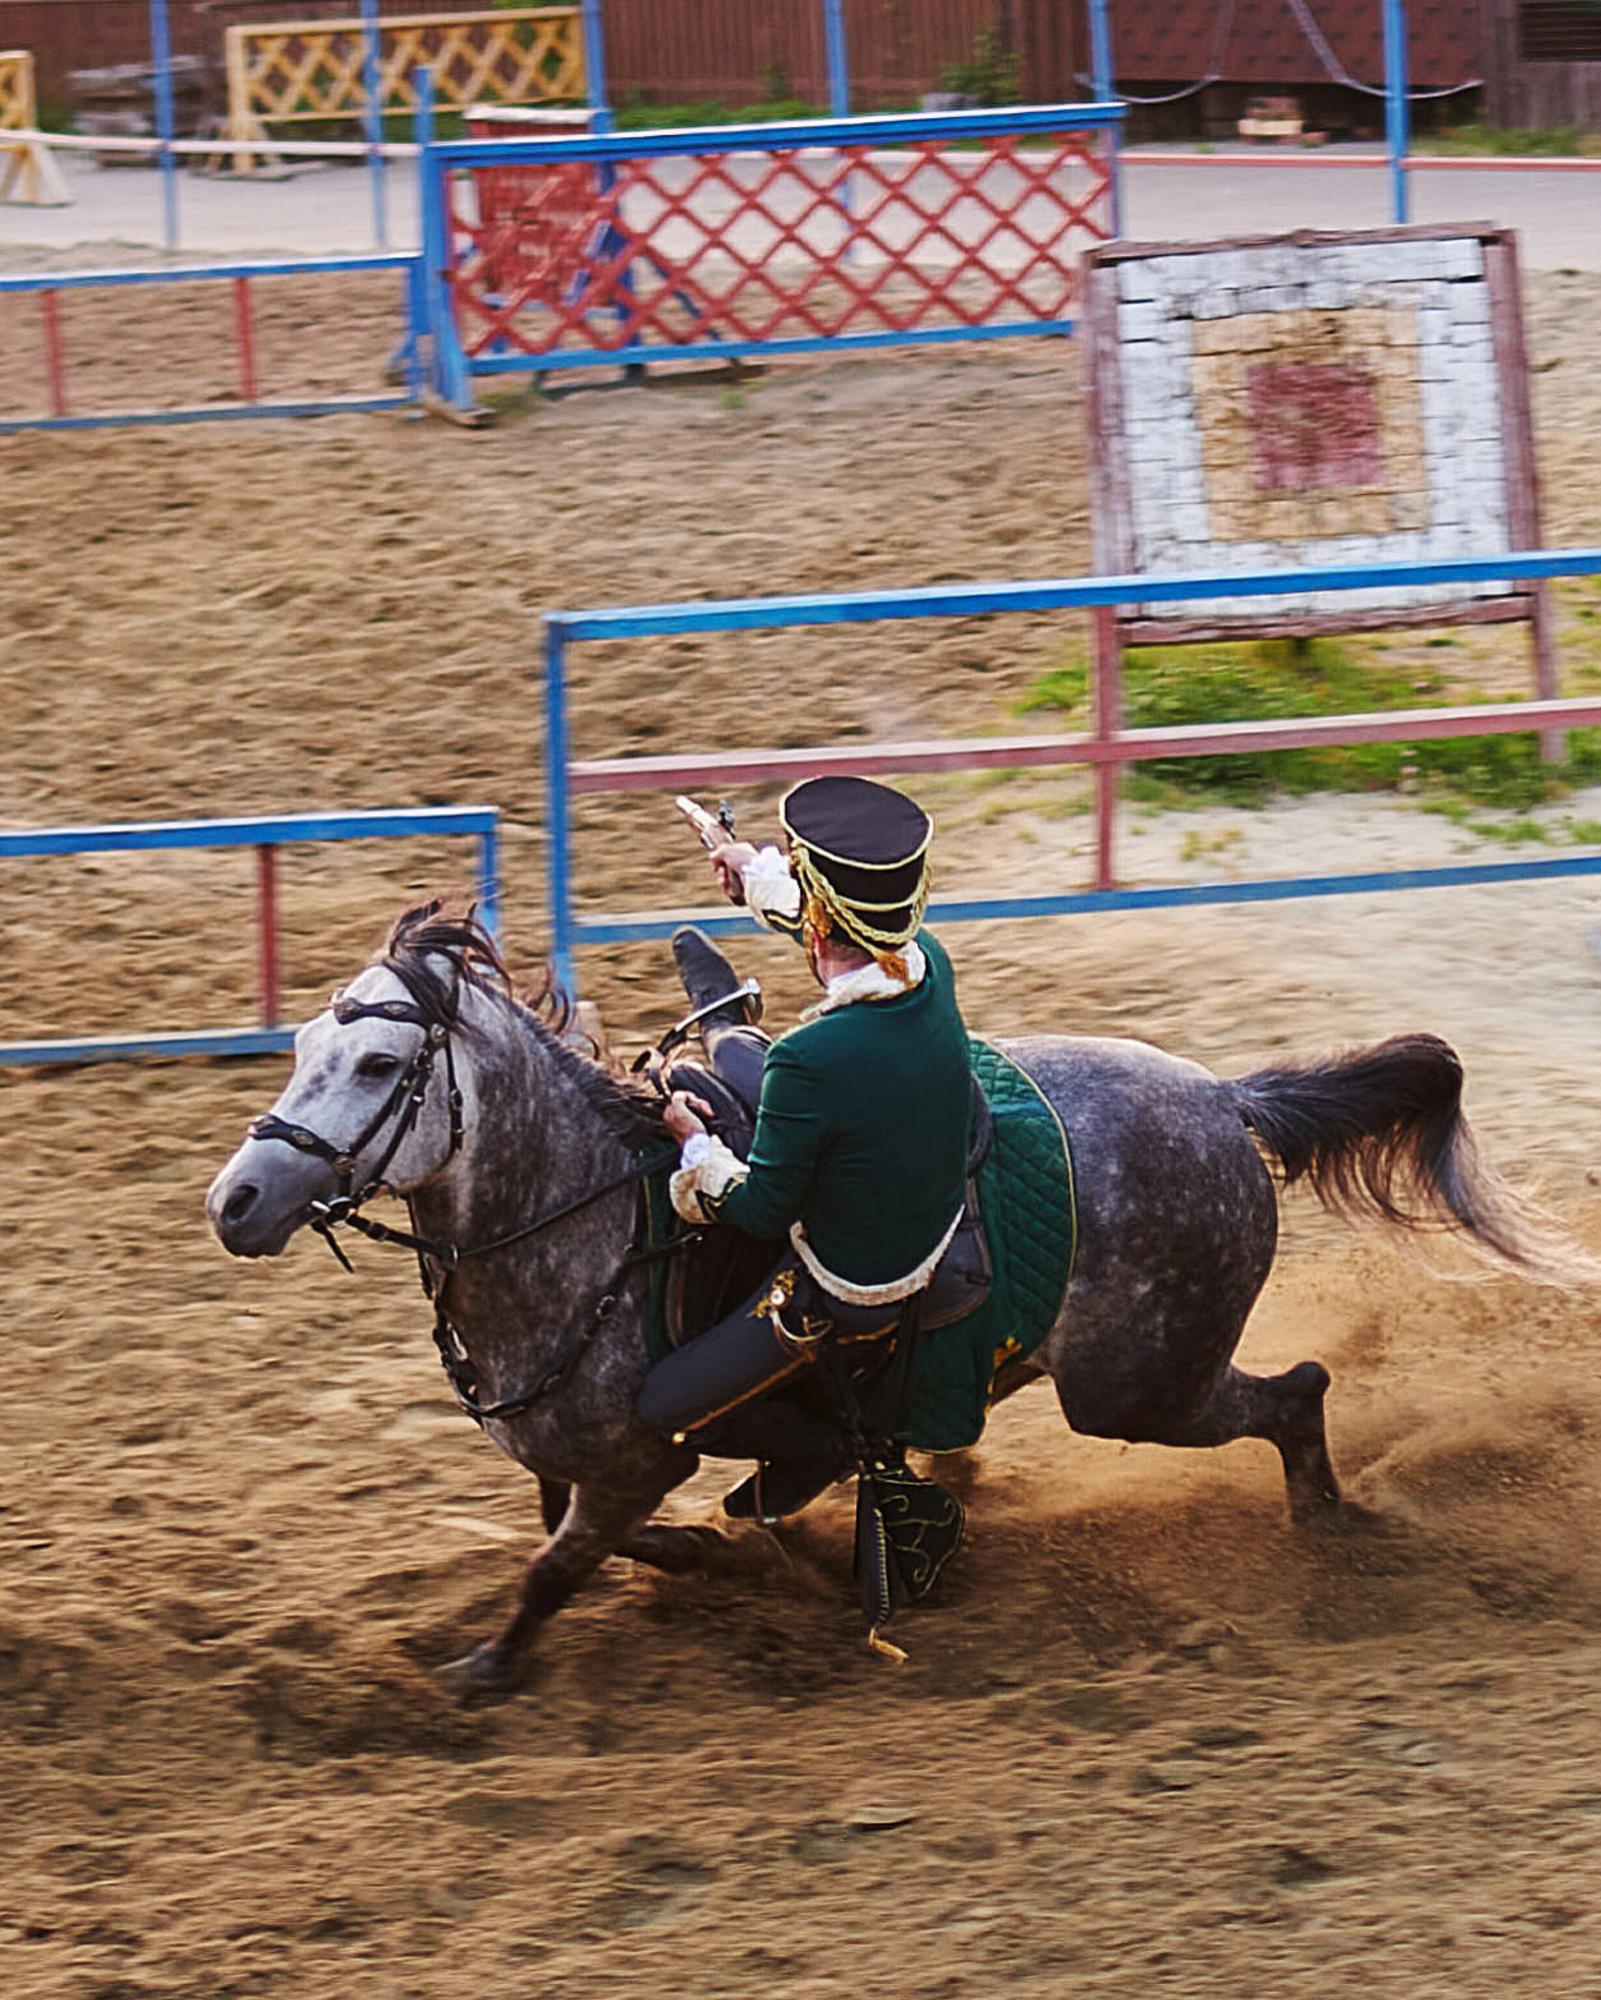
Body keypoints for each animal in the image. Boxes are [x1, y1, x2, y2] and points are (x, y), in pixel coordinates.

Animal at [203, 908, 1576, 1704]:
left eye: (380, 1062)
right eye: (299, 1051)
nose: (237, 1199)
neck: (589, 1219)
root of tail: (1229, 1103)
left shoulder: (645, 1449)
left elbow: (553, 1564)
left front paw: (484, 1667)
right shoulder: (597, 1454)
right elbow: (594, 1532)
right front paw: (711, 1556)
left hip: (1142, 1385)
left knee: (1297, 1394)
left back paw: (1331, 1540)